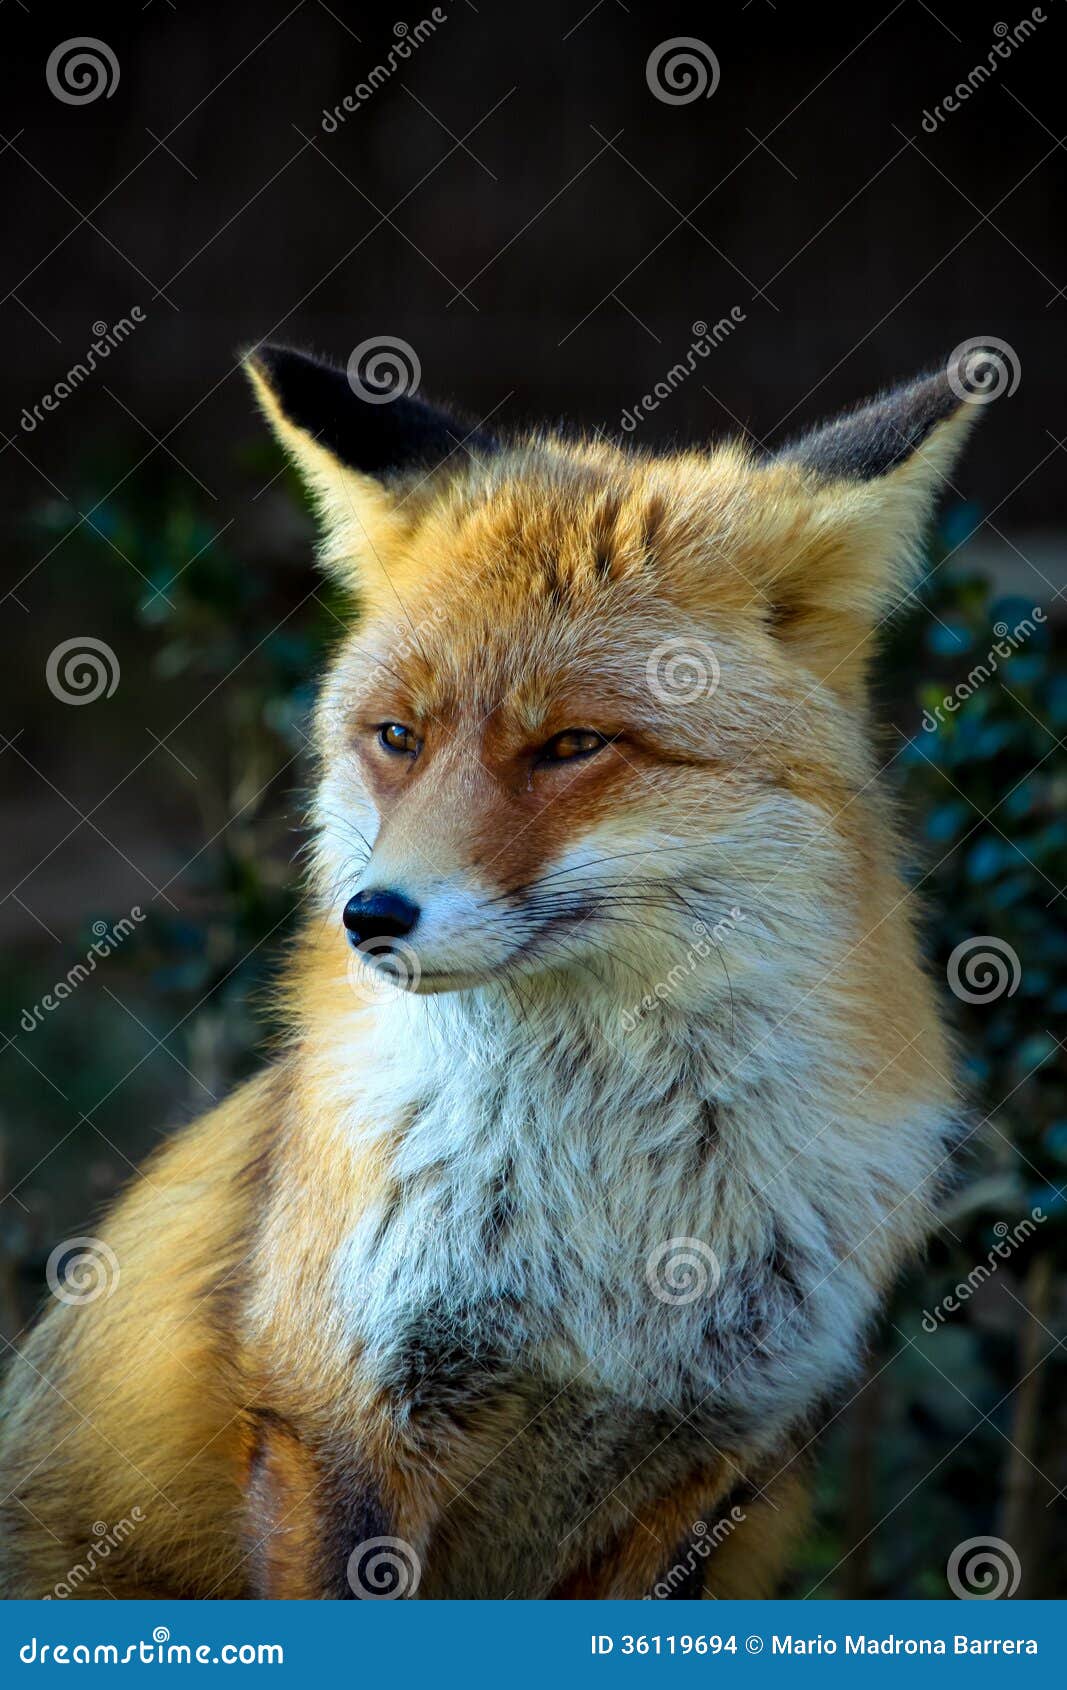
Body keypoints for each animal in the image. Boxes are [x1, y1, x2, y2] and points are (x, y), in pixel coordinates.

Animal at [0, 344, 982, 1599]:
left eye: (572, 746)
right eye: (397, 738)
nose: (370, 917)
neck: (605, 1216)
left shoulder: (703, 1468)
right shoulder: (339, 1419)